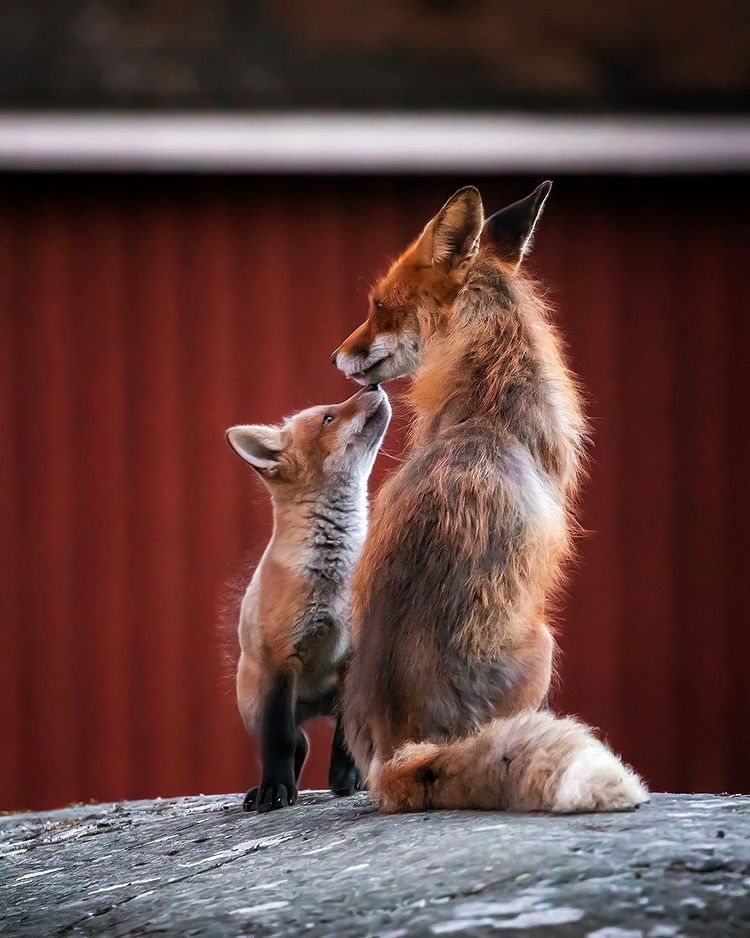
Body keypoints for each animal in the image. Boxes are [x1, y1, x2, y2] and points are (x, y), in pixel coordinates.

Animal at [226, 384, 391, 812]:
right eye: (329, 418)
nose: (372, 385)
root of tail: (314, 704)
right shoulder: (281, 659)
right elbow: (280, 741)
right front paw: (275, 789)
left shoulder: (353, 657)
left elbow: (344, 738)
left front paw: (346, 779)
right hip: (255, 703)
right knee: (294, 740)